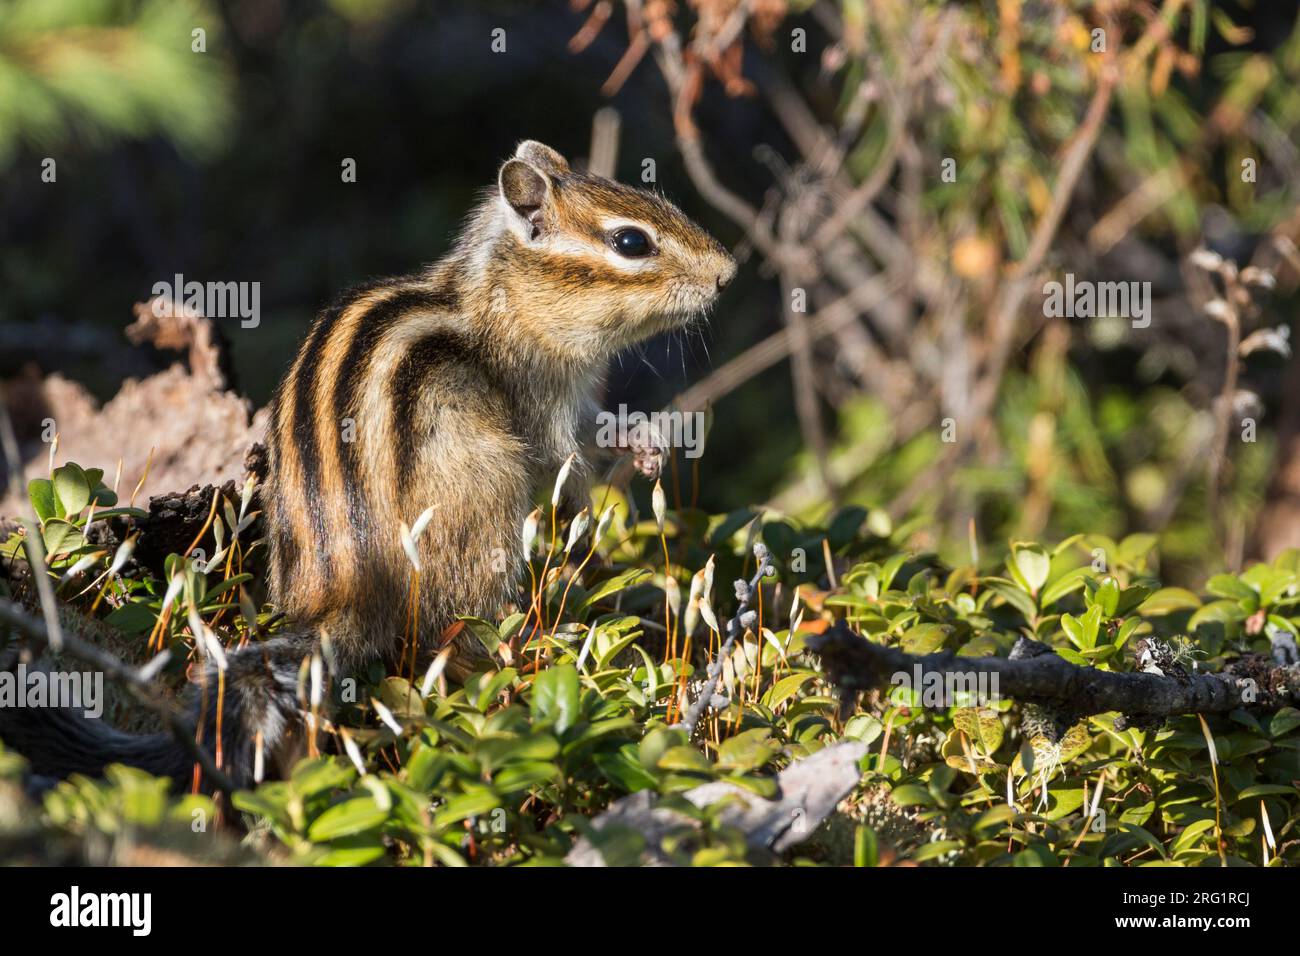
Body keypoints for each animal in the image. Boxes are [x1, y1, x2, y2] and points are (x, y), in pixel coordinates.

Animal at [0, 140, 735, 791]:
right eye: (631, 243)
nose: (727, 272)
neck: (497, 296)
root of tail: (343, 596)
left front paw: (650, 439)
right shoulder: (542, 400)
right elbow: (571, 464)